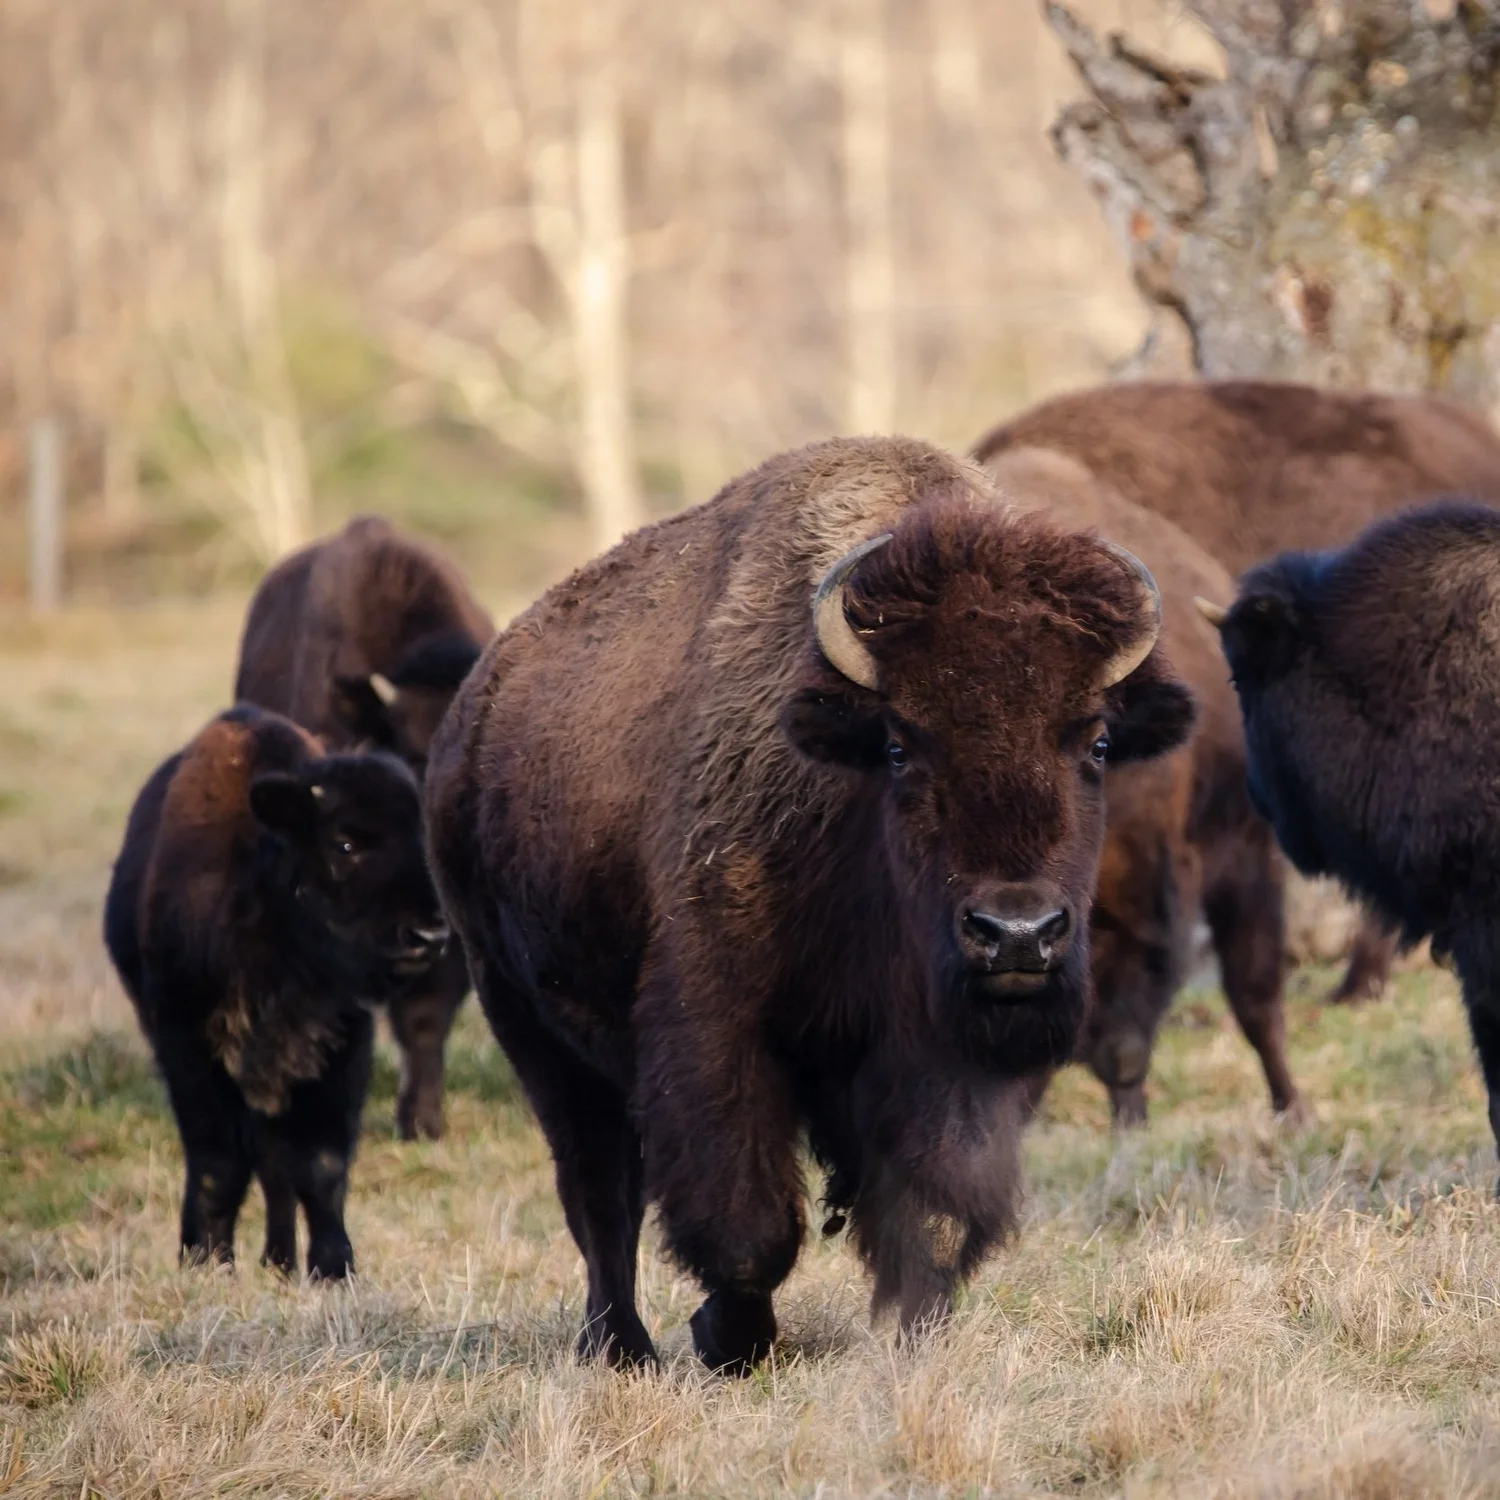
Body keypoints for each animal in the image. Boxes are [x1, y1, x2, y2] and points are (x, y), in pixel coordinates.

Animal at [104, 705, 449, 1277]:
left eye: (424, 839)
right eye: (344, 843)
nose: (428, 934)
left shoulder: (339, 1045)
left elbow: (320, 1165)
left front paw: (333, 1268)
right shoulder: (188, 1043)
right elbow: (218, 1164)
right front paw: (207, 1261)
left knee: (276, 1165)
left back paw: (279, 1262)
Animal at [426, 437, 1195, 1372]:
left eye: (1098, 741)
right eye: (900, 744)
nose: (1016, 934)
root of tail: (472, 714)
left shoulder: (947, 1057)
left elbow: (934, 1215)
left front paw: (914, 1342)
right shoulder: (717, 1031)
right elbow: (746, 1228)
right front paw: (728, 1339)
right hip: (520, 1013)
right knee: (598, 1191)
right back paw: (622, 1347)